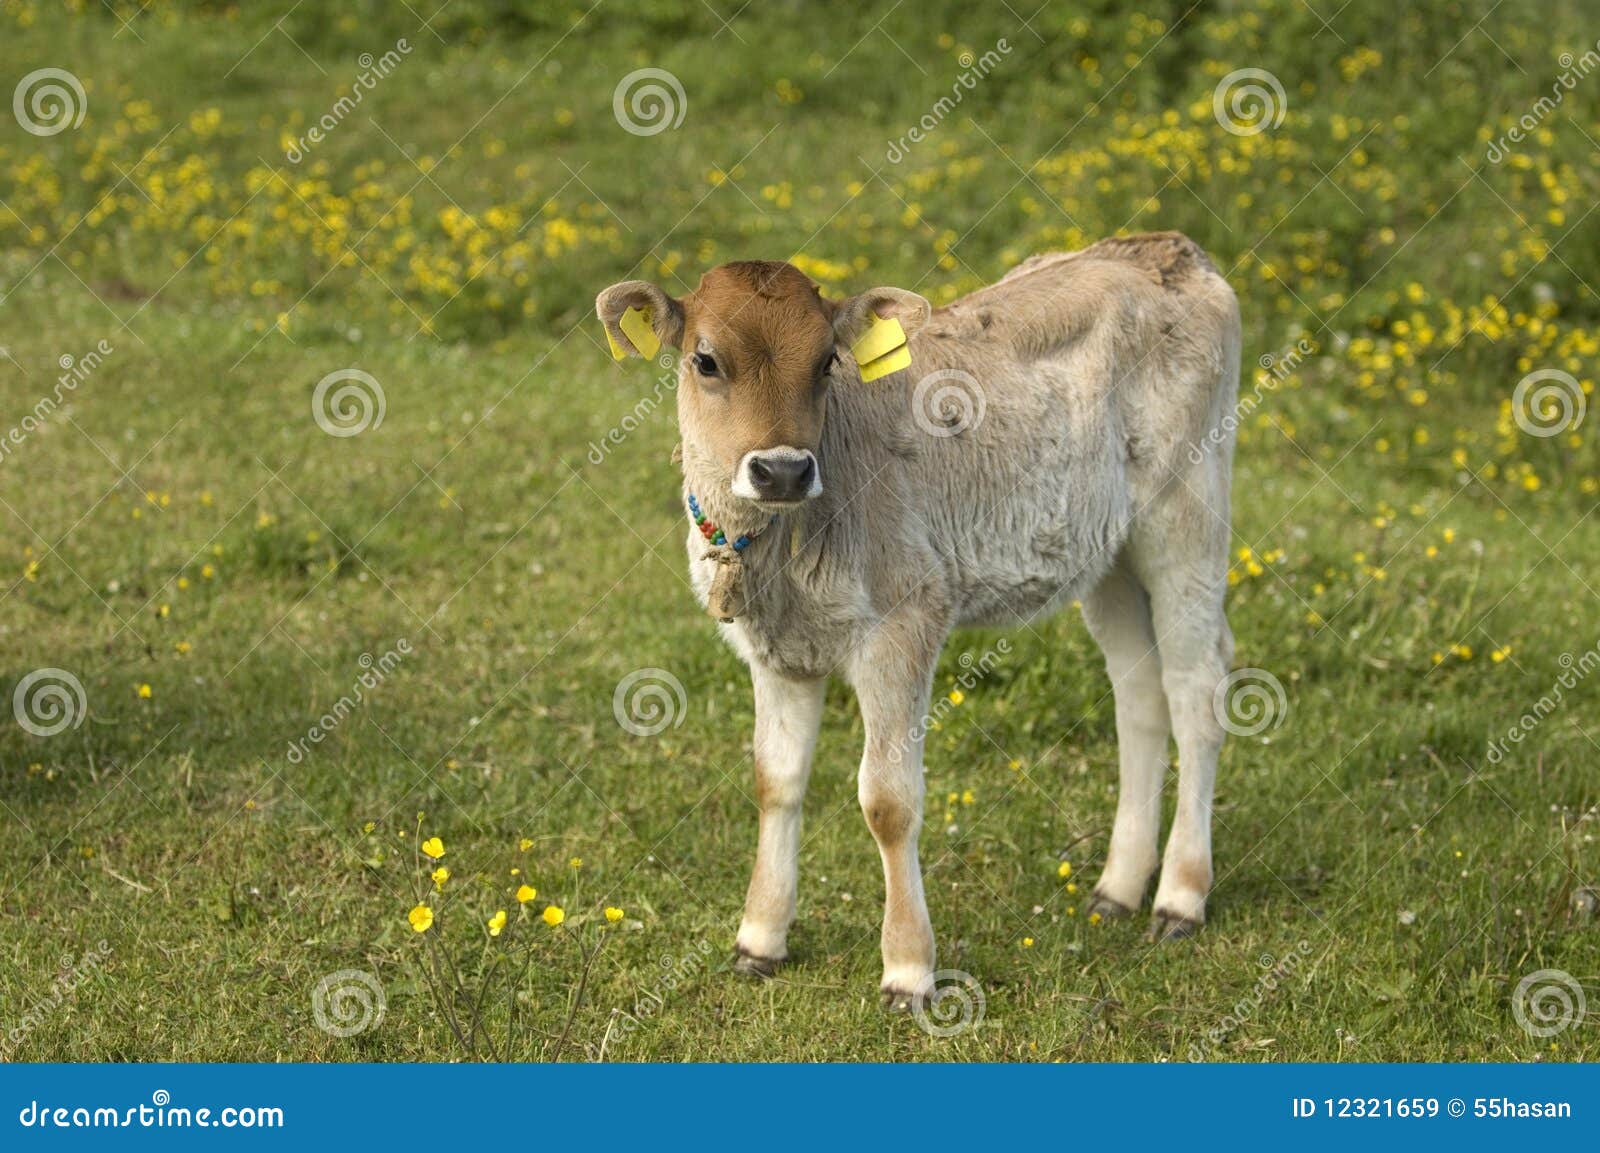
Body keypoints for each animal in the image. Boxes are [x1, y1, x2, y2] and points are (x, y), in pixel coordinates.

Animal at [597, 231, 1241, 1008]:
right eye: (705, 360)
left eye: (827, 361)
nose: (782, 469)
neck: (775, 552)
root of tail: (1169, 247)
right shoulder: (775, 648)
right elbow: (775, 779)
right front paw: (759, 939)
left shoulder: (906, 618)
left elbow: (887, 800)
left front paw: (908, 968)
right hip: (1105, 553)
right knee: (1139, 692)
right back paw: (1117, 886)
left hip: (1187, 511)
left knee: (1196, 691)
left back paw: (1180, 895)